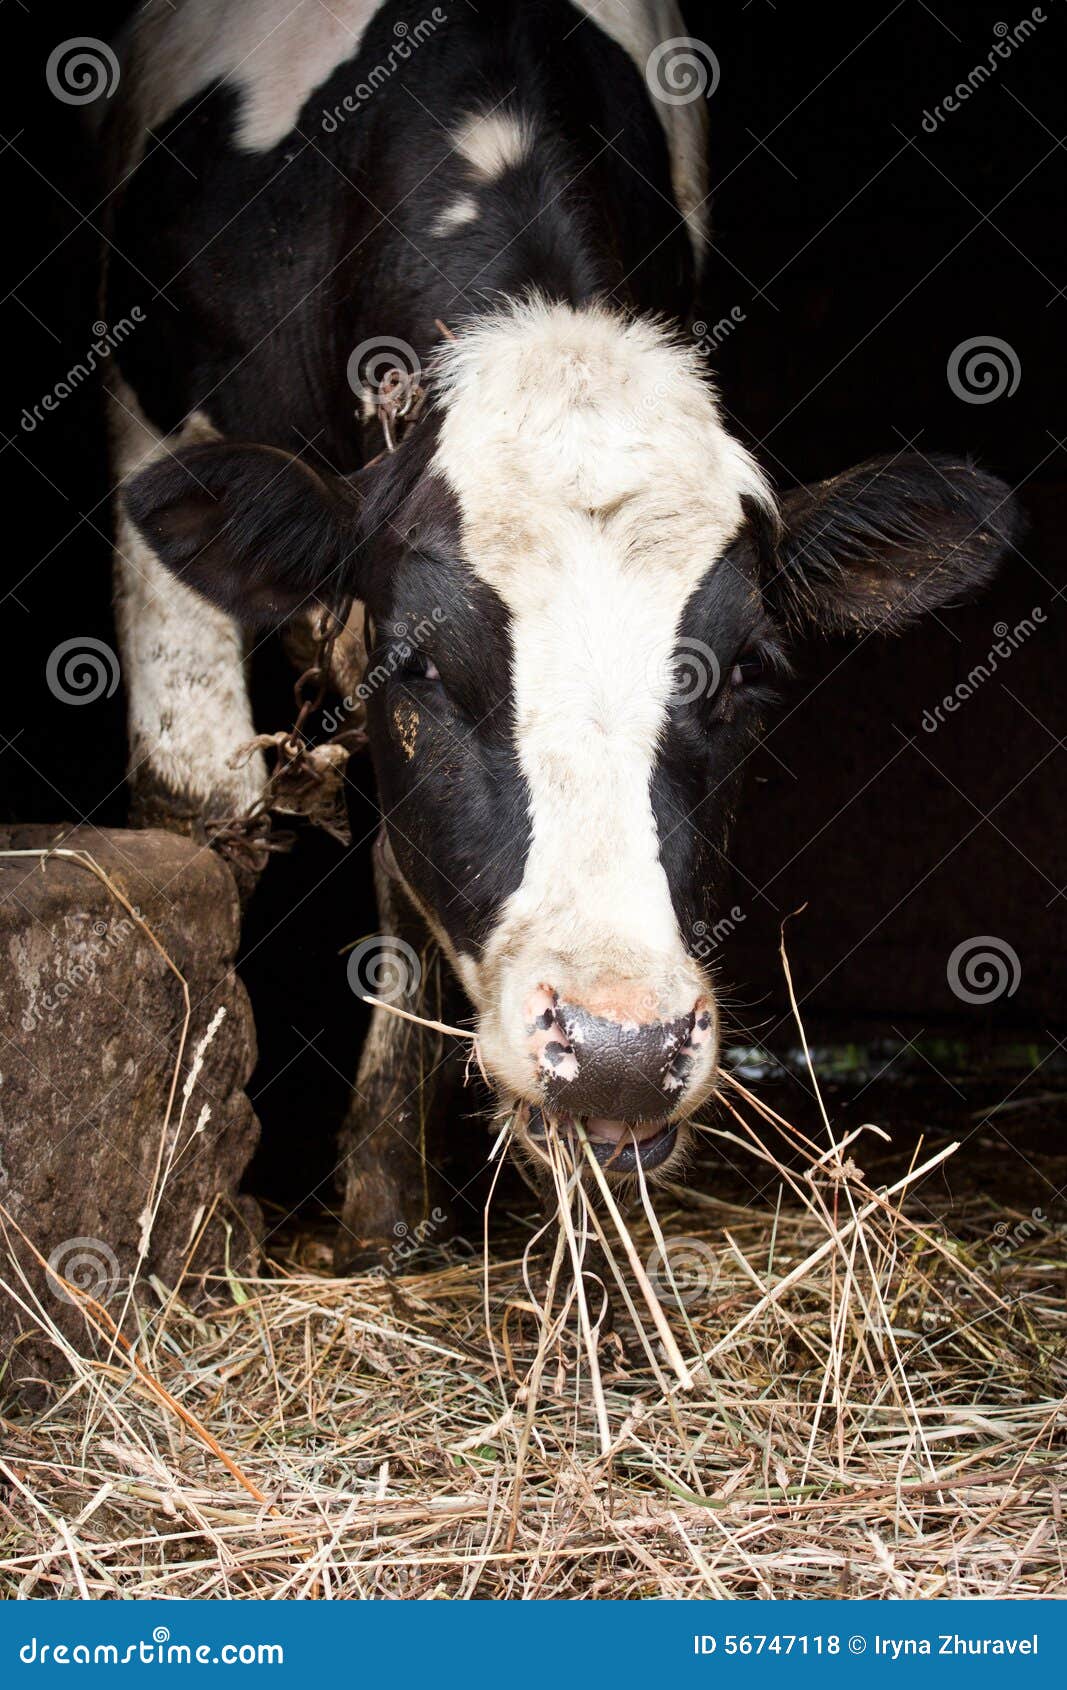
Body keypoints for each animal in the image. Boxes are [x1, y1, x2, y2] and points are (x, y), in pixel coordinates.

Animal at [102, 0, 1018, 1264]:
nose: (621, 1048)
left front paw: (389, 1197)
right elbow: (199, 811)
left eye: (743, 672)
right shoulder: (152, 431)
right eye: (423, 664)